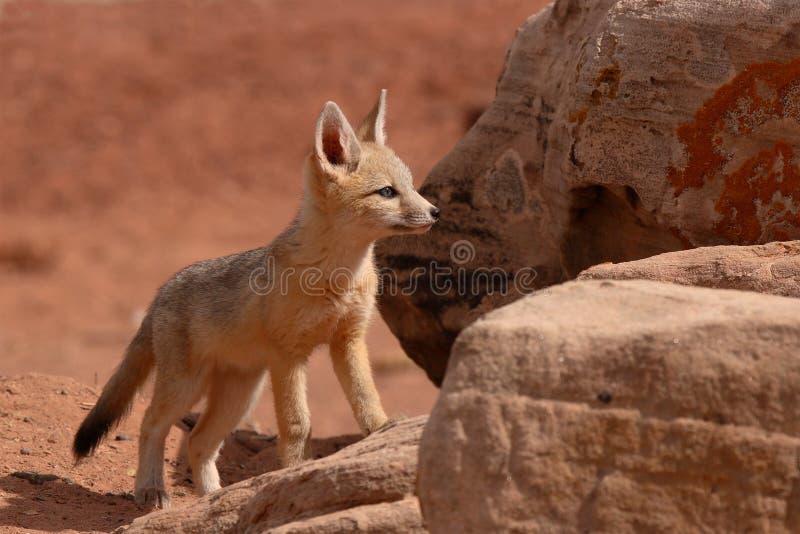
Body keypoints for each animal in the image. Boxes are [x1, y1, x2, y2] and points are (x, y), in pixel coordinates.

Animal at [72, 89, 439, 508]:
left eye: (411, 186)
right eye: (388, 192)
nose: (435, 212)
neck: (338, 275)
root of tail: (162, 290)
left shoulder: (348, 340)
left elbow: (366, 398)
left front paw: (381, 429)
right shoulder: (288, 355)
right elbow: (297, 424)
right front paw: (295, 471)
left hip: (240, 395)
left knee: (198, 441)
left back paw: (213, 498)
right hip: (187, 388)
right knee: (151, 424)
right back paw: (151, 490)